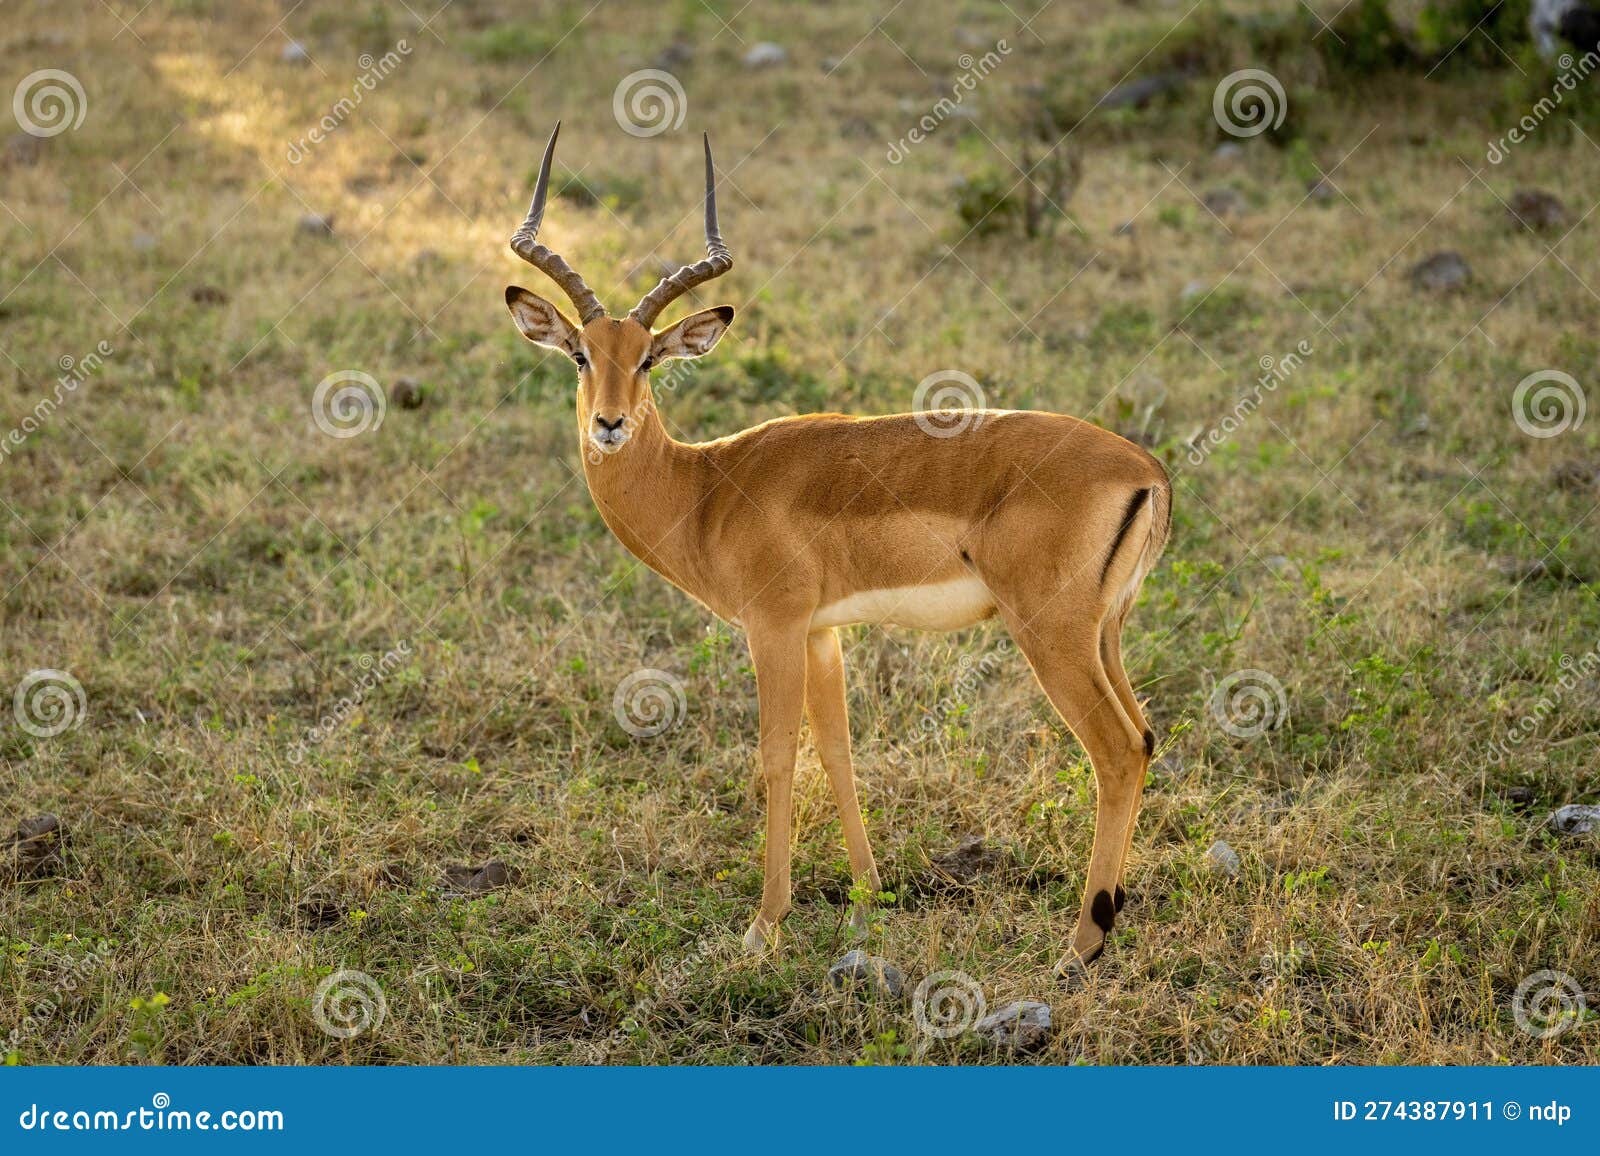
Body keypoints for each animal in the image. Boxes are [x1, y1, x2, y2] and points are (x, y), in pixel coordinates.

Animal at [502, 125, 1172, 973]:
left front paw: (764, 925)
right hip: (1104, 636)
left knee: (1115, 751)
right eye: (581, 354)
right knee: (1144, 738)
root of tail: (1146, 471)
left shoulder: (775, 627)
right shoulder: (824, 633)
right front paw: (866, 897)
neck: (705, 489)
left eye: (648, 357)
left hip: (1050, 635)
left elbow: (777, 757)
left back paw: (1079, 947)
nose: (610, 425)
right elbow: (839, 750)